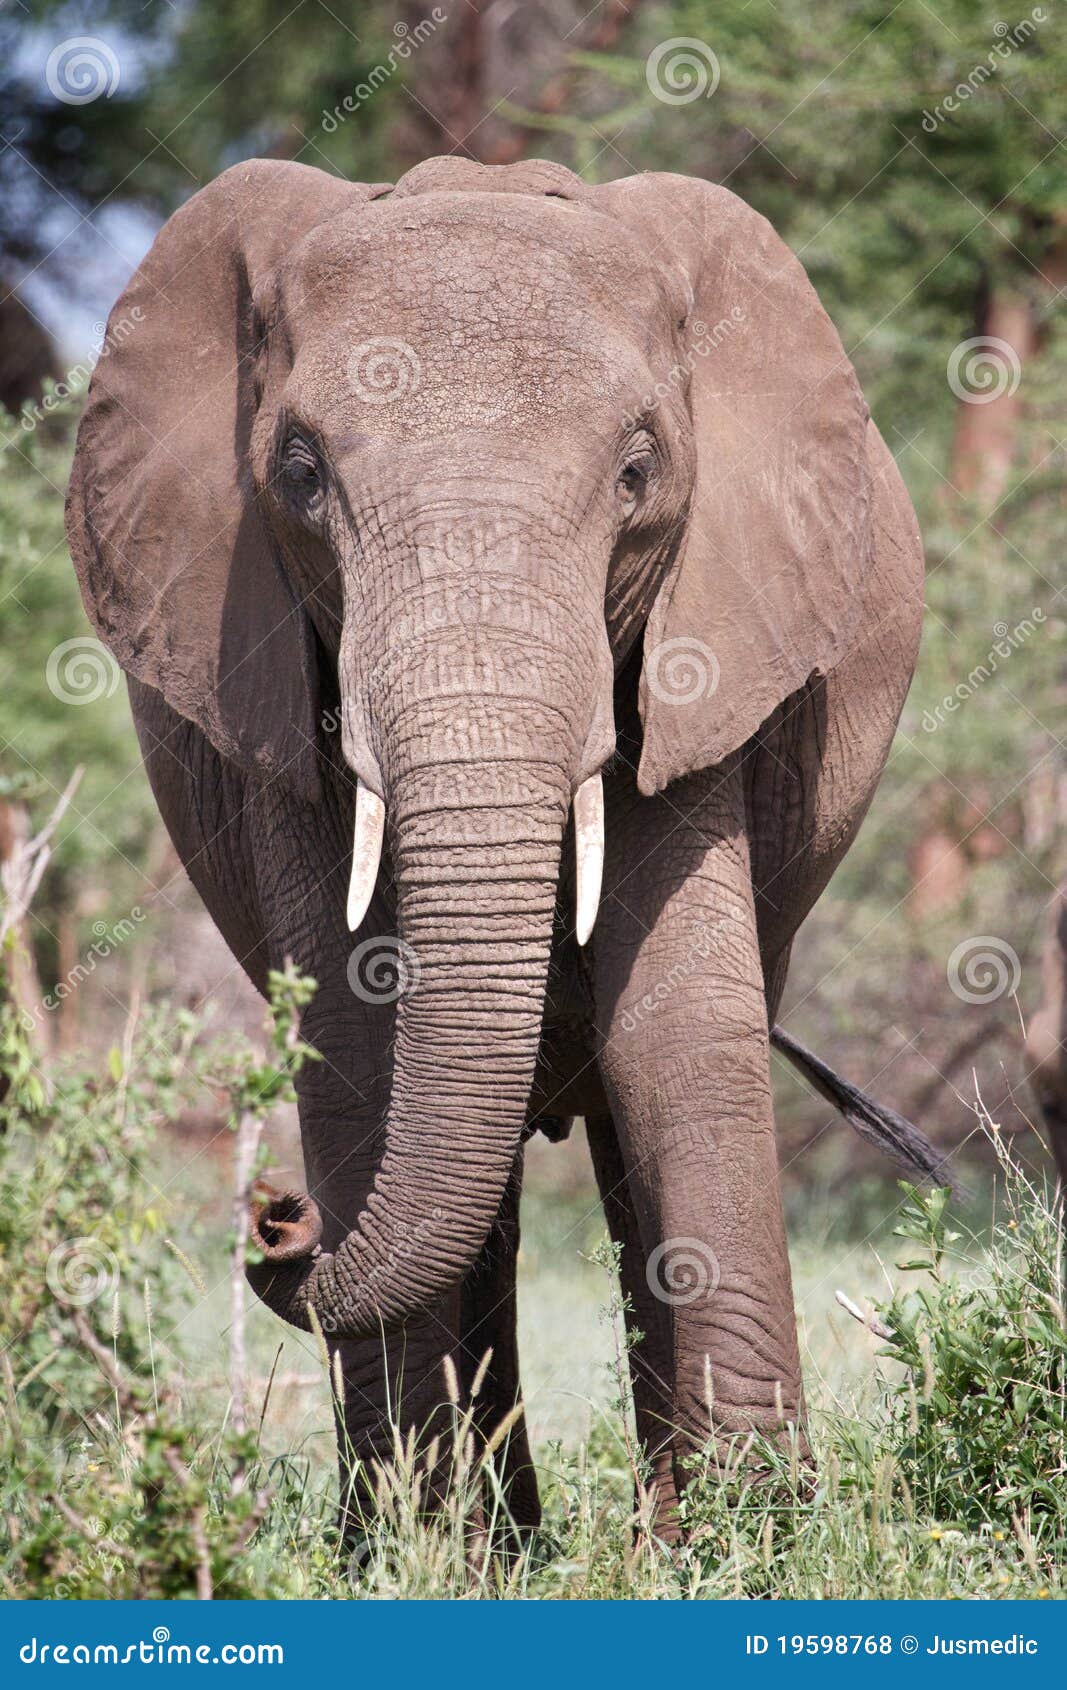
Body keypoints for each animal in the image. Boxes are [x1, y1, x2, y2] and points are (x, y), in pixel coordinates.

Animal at [65, 153, 942, 1541]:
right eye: (300, 470)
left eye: (637, 470)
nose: (276, 1216)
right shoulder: (271, 683)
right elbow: (359, 1029)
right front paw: (410, 1547)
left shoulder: (705, 650)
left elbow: (677, 1030)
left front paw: (749, 1539)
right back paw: (499, 1536)